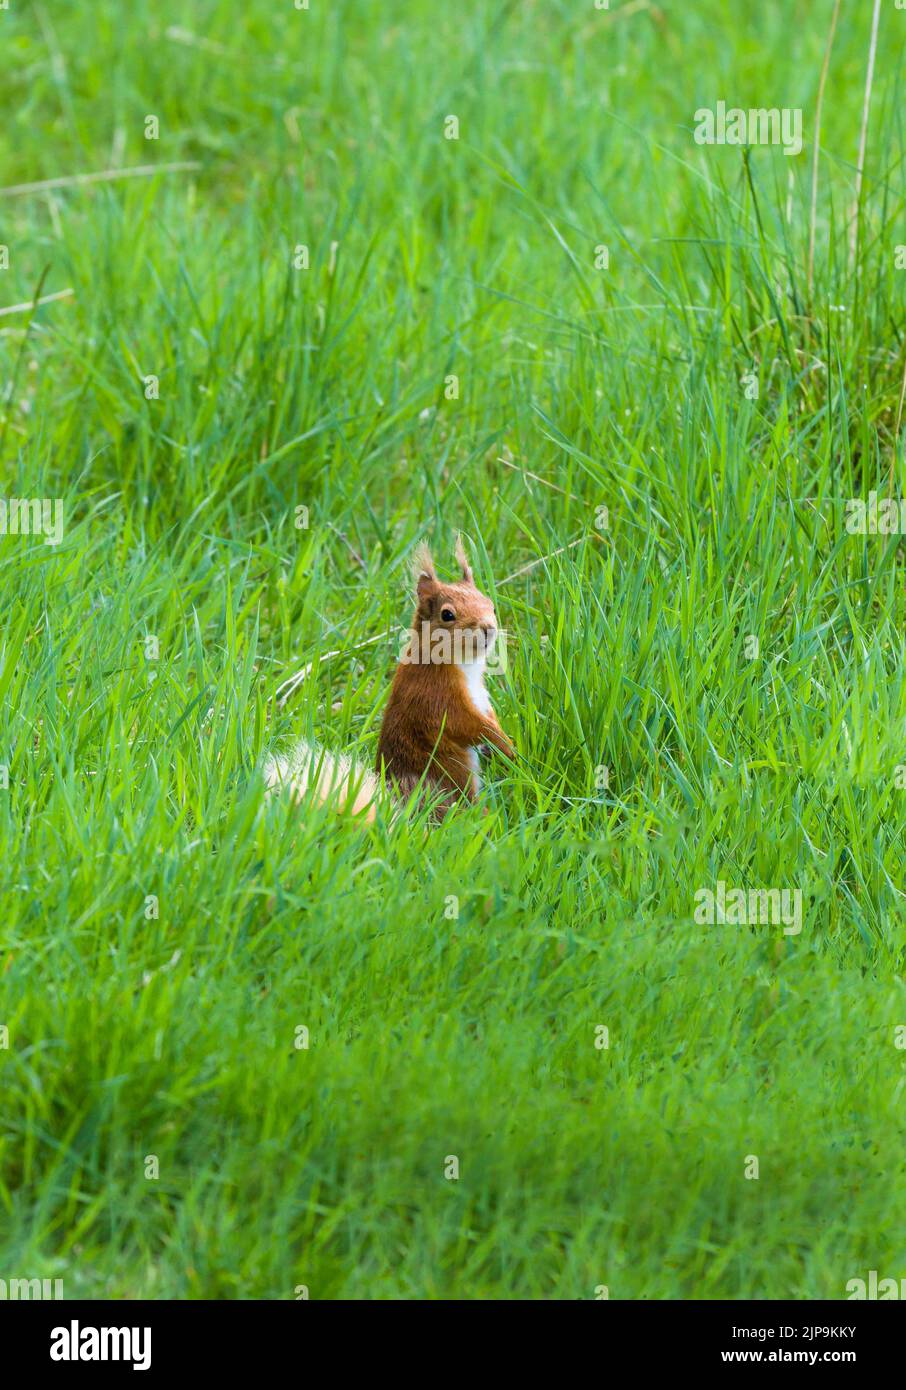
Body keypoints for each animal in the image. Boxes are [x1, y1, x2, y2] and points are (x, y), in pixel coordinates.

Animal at [265, 535, 515, 821]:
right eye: (447, 615)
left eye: (491, 605)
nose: (488, 628)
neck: (466, 666)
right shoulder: (436, 697)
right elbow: (465, 725)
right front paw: (505, 745)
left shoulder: (479, 697)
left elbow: (487, 716)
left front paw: (503, 744)